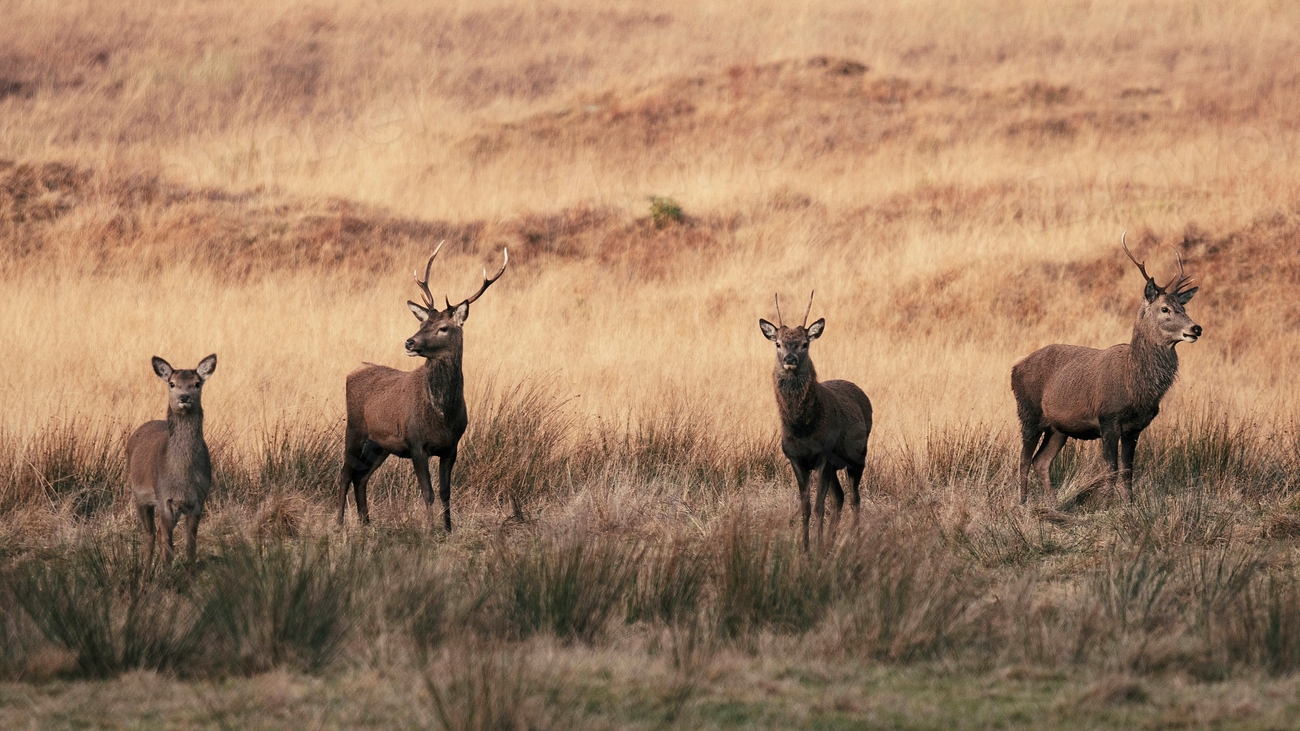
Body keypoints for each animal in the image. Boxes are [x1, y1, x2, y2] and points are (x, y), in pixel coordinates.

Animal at [126, 354, 217, 568]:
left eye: (197, 383)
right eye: (172, 383)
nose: (184, 397)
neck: (182, 478)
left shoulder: (198, 500)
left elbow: (191, 545)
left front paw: (190, 571)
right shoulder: (164, 498)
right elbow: (168, 547)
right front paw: (167, 572)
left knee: (157, 534)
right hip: (139, 497)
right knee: (150, 535)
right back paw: (146, 570)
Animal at [337, 242, 507, 531]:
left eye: (443, 327)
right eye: (422, 322)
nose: (409, 342)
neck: (442, 413)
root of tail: (353, 371)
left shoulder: (452, 446)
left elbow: (445, 491)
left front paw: (448, 530)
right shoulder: (416, 443)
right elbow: (427, 493)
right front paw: (428, 531)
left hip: (380, 444)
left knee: (361, 476)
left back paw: (366, 523)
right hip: (355, 427)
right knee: (344, 473)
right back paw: (338, 524)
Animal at [759, 293, 873, 550]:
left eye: (805, 343)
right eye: (778, 343)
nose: (790, 358)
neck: (804, 430)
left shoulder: (824, 455)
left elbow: (820, 507)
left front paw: (817, 548)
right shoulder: (795, 457)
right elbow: (806, 508)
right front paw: (806, 548)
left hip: (858, 455)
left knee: (854, 497)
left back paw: (855, 540)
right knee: (840, 497)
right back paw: (831, 541)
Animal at [1011, 233, 1201, 504]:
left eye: (1184, 308)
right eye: (1164, 309)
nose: (1196, 328)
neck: (1134, 385)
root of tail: (1014, 368)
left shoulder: (1135, 427)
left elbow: (1128, 470)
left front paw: (1130, 504)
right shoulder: (1108, 417)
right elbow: (1111, 468)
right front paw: (1107, 504)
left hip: (1058, 427)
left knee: (1041, 461)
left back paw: (1054, 504)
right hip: (1028, 412)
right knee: (1024, 460)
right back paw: (1023, 502)